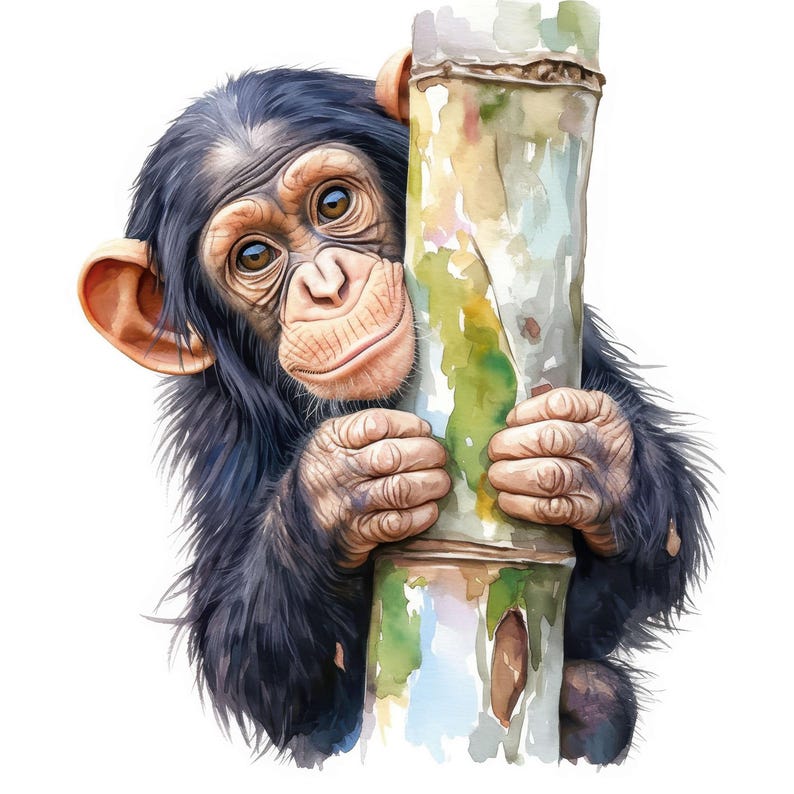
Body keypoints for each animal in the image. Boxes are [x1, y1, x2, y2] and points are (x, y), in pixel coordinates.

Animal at [79, 68, 710, 766]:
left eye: (332, 205)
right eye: (253, 257)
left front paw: (592, 459)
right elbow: (253, 668)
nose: (327, 286)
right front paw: (339, 486)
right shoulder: (219, 438)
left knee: (596, 691)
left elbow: (599, 603)